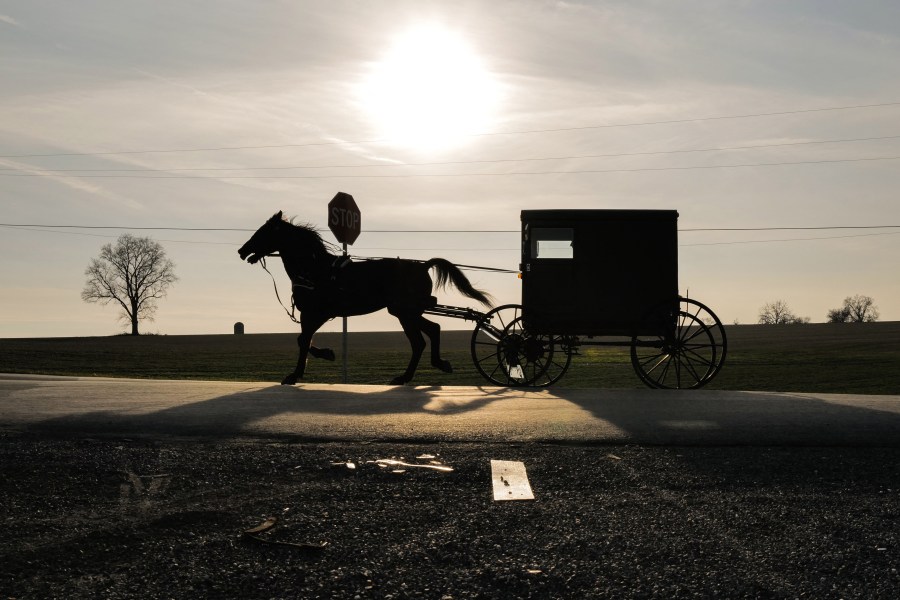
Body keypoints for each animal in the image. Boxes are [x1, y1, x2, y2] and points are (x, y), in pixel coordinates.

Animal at [238, 211, 493, 385]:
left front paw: (298, 372)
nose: (242, 250)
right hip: (405, 311)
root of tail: (422, 266)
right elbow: (304, 340)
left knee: (420, 341)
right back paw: (434, 365)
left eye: (263, 231)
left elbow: (303, 340)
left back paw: (406, 376)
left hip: (405, 311)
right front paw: (317, 359)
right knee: (433, 330)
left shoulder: (316, 313)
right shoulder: (312, 314)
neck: (315, 270)